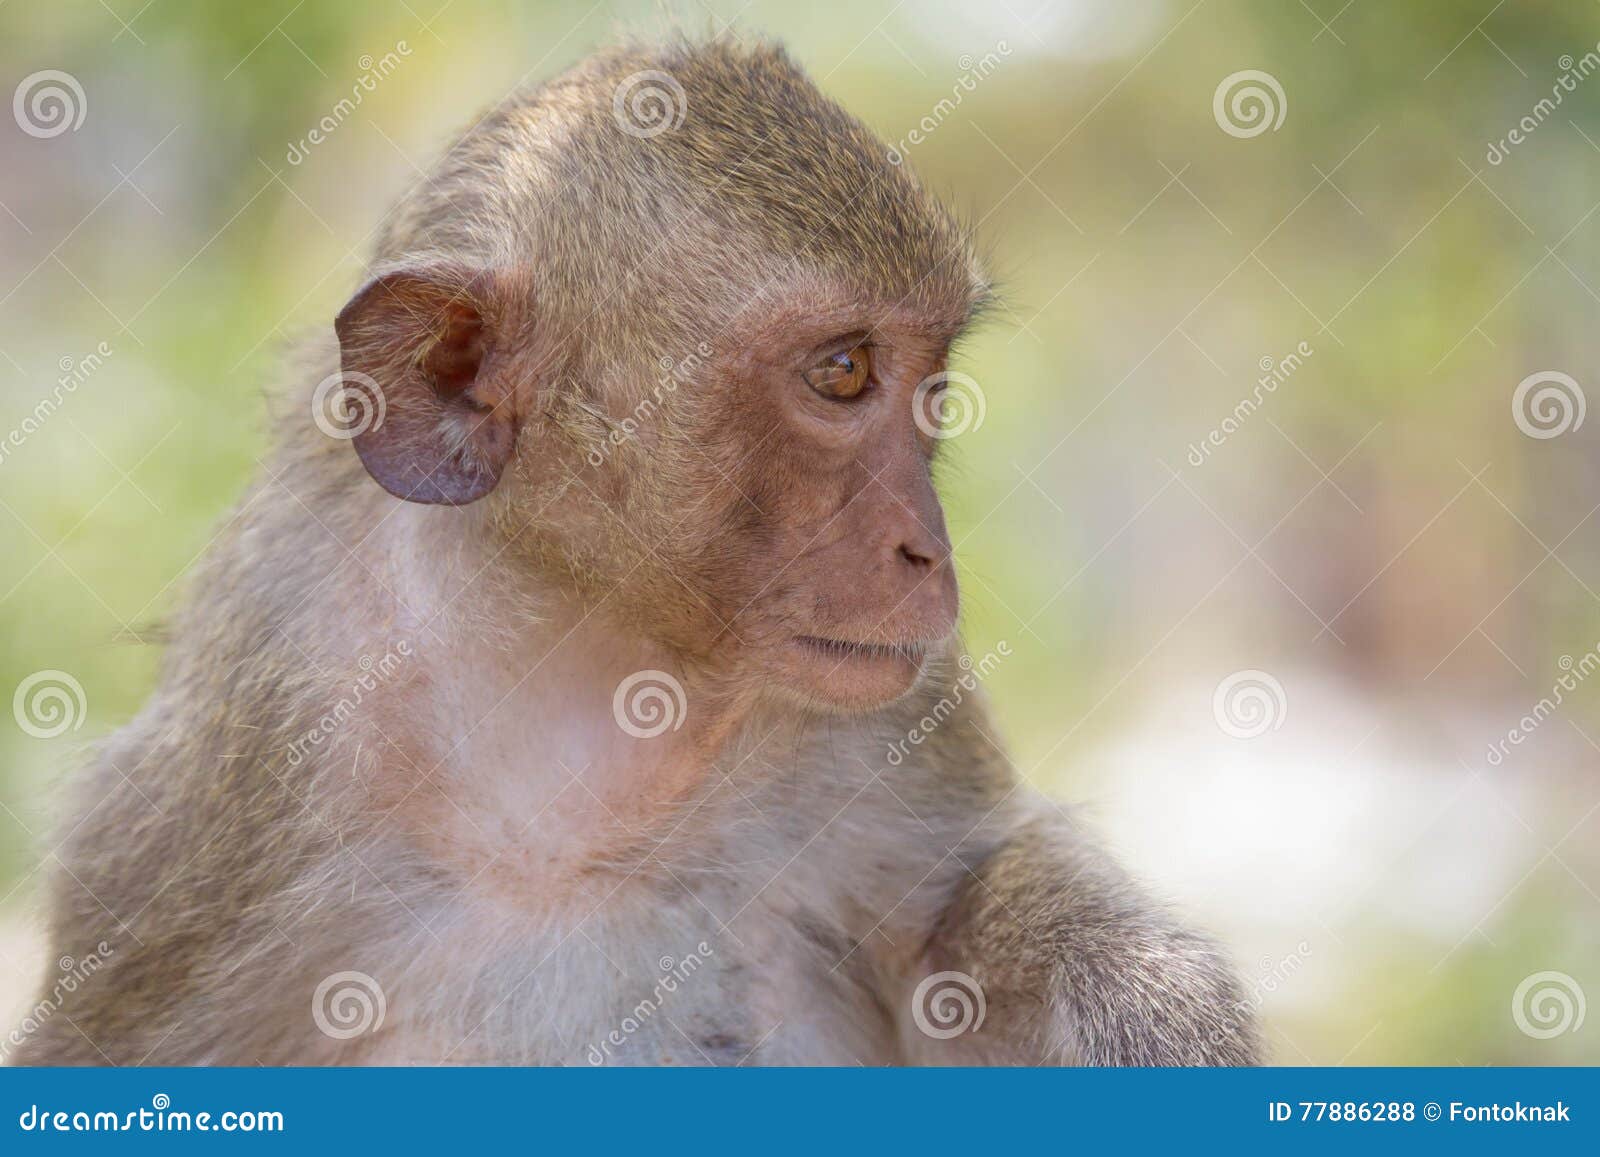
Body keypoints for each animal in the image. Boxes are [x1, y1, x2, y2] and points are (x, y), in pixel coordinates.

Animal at [9, 36, 1260, 1067]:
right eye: (843, 371)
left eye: (931, 382)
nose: (924, 548)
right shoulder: (227, 783)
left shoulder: (886, 716)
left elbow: (965, 917)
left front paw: (1140, 997)